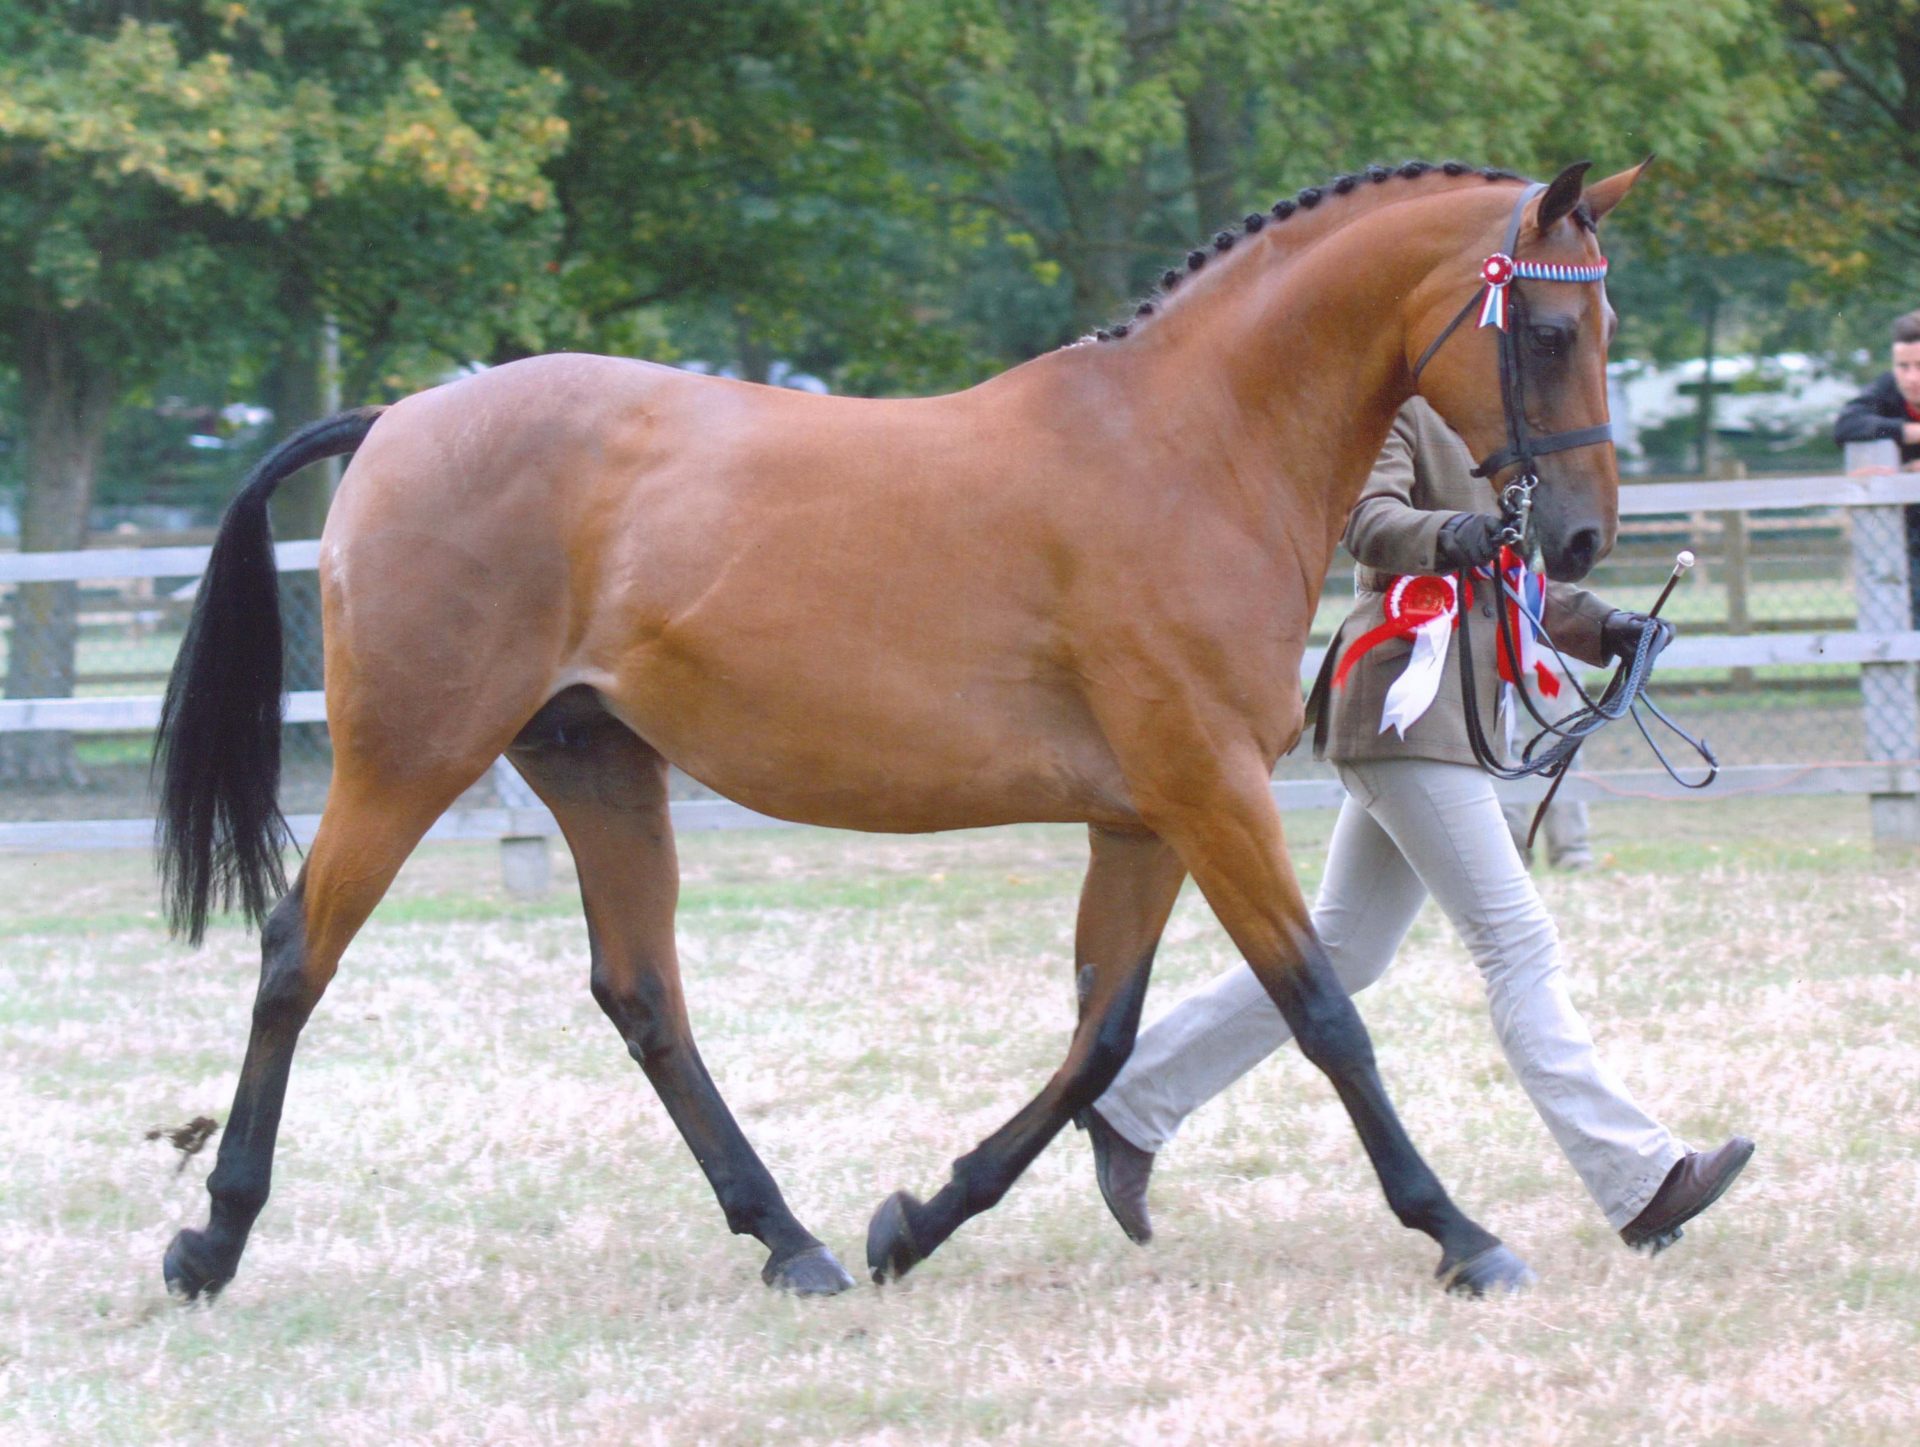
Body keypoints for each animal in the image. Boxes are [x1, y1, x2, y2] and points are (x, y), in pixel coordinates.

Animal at [154, 157, 1642, 1304]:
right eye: (1549, 331)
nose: (1578, 540)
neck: (1189, 447)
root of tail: (396, 418)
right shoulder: (1208, 788)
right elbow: (1322, 1011)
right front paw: (1461, 1233)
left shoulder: (1145, 816)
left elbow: (1103, 1035)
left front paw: (917, 1219)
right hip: (410, 757)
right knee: (297, 956)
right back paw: (211, 1240)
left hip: (596, 767)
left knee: (643, 996)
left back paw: (793, 1240)